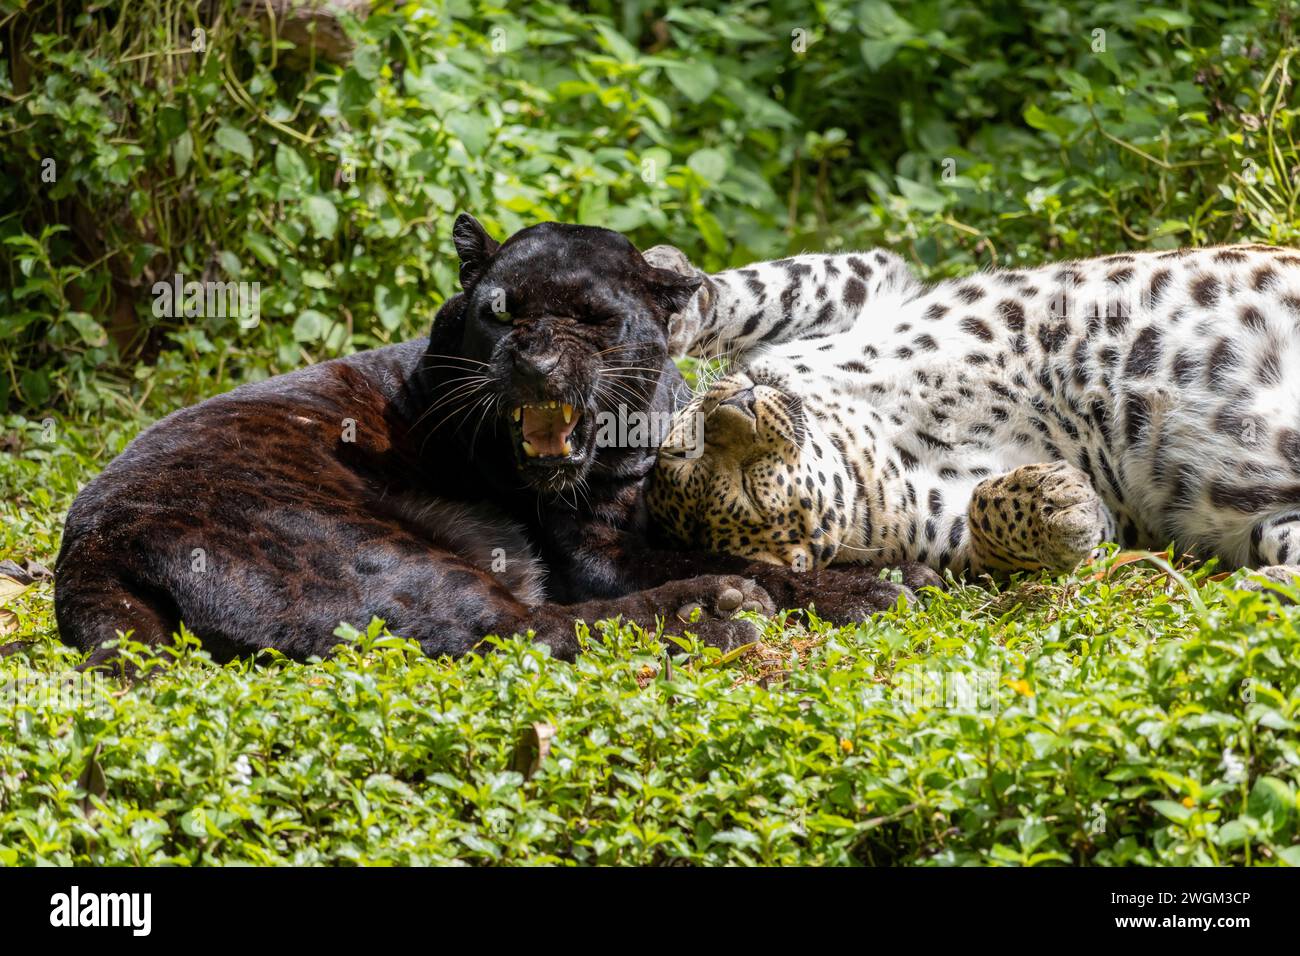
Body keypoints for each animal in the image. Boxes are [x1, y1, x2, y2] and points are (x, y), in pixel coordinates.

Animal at [645, 243, 1300, 592]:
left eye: (686, 443)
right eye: (749, 491)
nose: (734, 403)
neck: (858, 432)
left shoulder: (874, 281)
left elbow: (766, 288)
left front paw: (668, 287)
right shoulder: (942, 526)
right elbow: (995, 518)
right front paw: (1059, 500)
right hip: (1269, 521)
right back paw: (1260, 587)